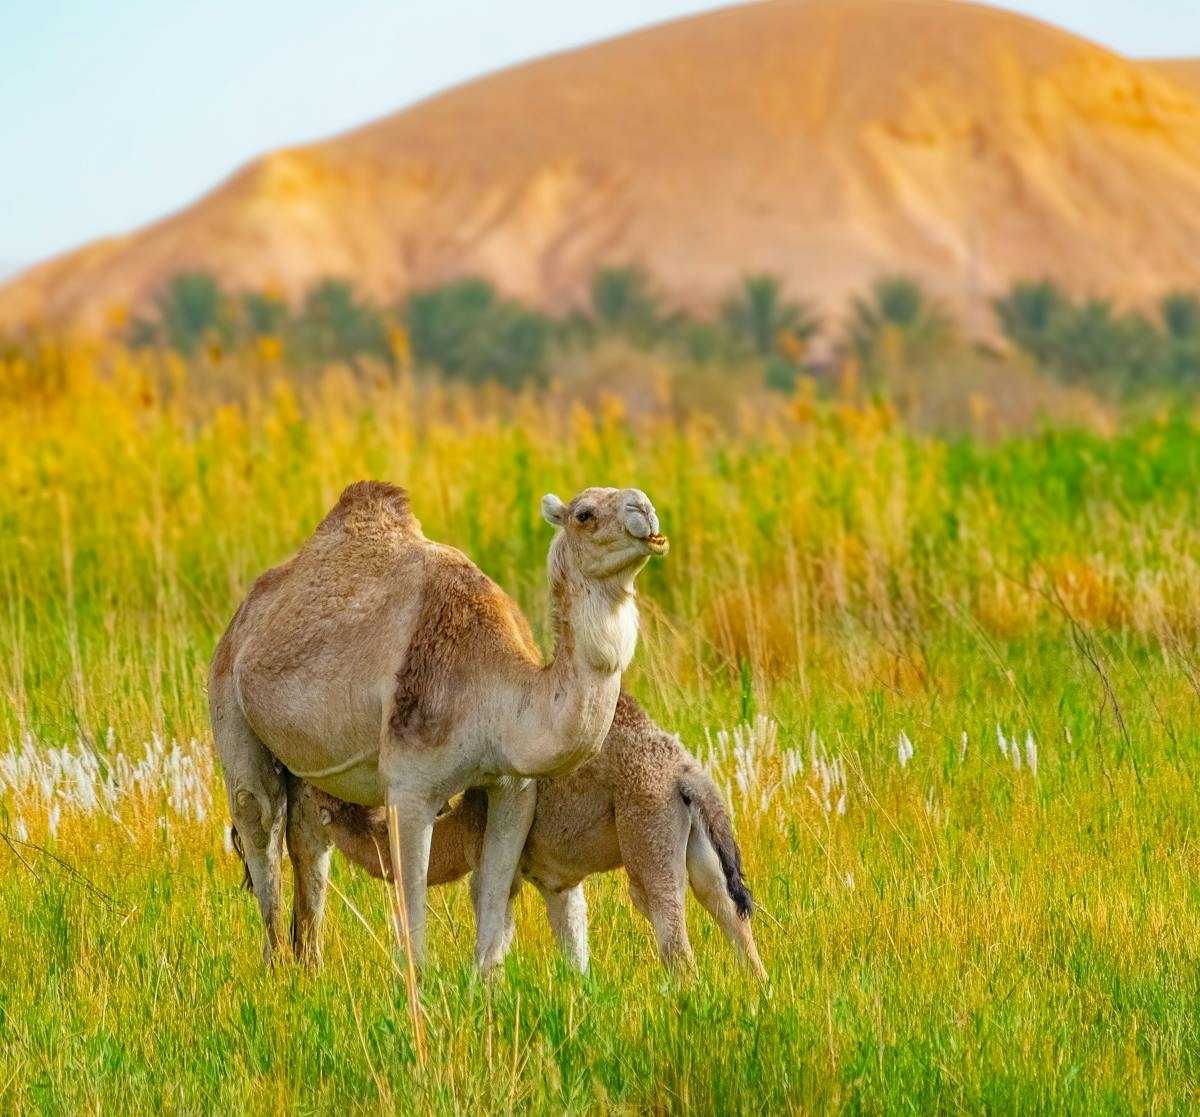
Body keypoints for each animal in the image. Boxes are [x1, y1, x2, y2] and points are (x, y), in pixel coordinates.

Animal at [209, 480, 666, 971]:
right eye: (584, 514)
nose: (644, 510)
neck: (499, 692)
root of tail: (240, 619)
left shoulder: (513, 787)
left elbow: (494, 894)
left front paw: (486, 982)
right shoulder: (410, 788)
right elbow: (412, 903)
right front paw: (420, 985)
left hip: (305, 766)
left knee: (308, 842)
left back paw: (309, 967)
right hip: (229, 706)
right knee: (260, 825)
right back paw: (277, 967)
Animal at [284, 692, 767, 980]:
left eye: (311, 788)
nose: (290, 776)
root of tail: (687, 775)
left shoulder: (491, 864)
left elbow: (493, 932)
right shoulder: (557, 884)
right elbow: (574, 949)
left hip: (647, 829)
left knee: (669, 926)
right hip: (698, 844)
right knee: (726, 907)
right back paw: (758, 991)